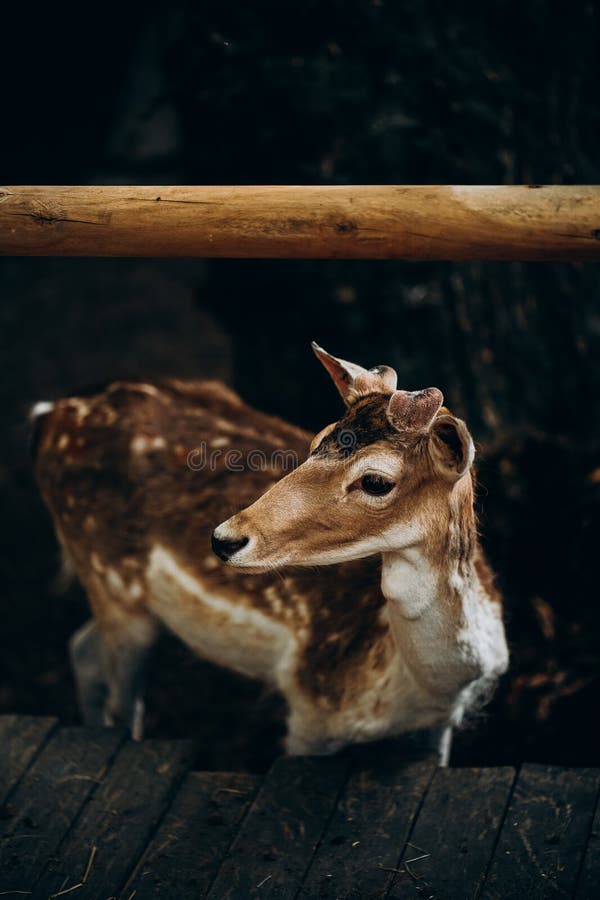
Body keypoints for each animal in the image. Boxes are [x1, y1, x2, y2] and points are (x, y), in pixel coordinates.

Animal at [32, 343, 508, 765]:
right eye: (317, 440)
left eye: (375, 481)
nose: (224, 538)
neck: (420, 689)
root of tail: (50, 414)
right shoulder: (310, 711)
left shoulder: (438, 726)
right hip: (108, 578)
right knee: (119, 697)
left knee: (82, 649)